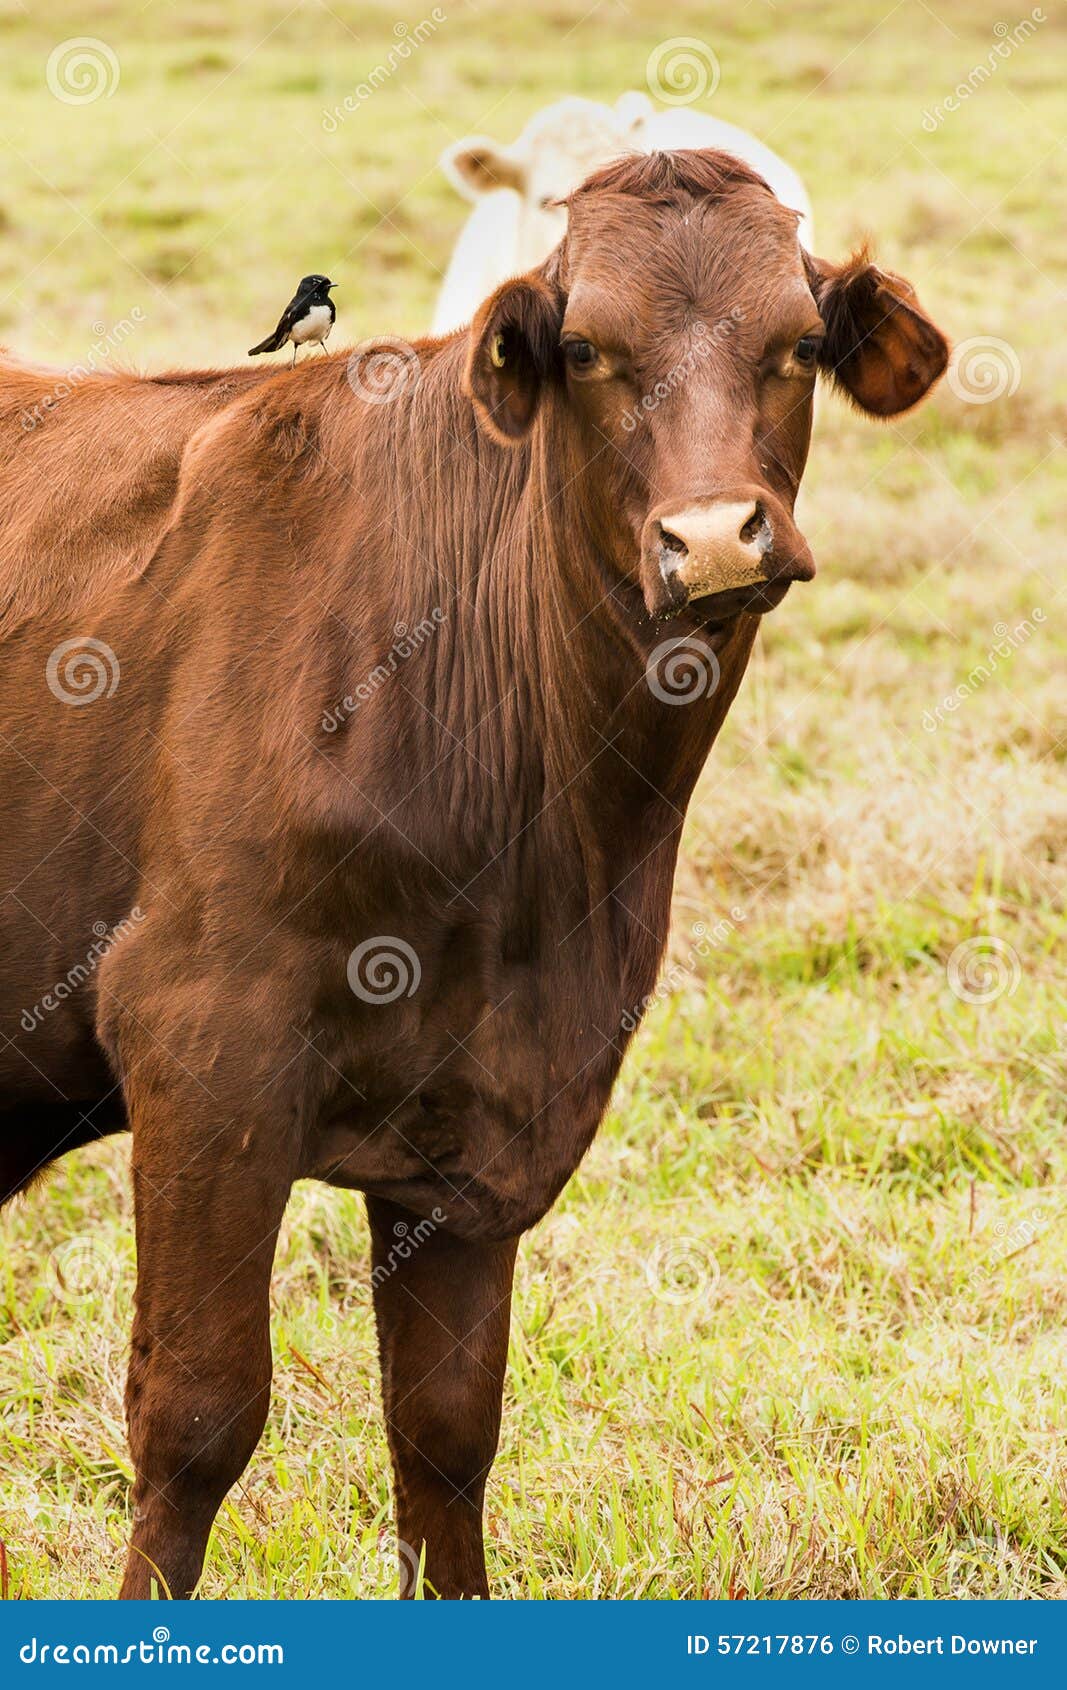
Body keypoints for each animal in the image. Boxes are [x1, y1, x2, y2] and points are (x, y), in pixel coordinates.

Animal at [0, 150, 948, 1599]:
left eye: (796, 344)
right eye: (588, 350)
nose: (712, 542)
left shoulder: (496, 1113)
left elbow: (444, 1433)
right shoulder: (198, 1040)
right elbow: (198, 1410)